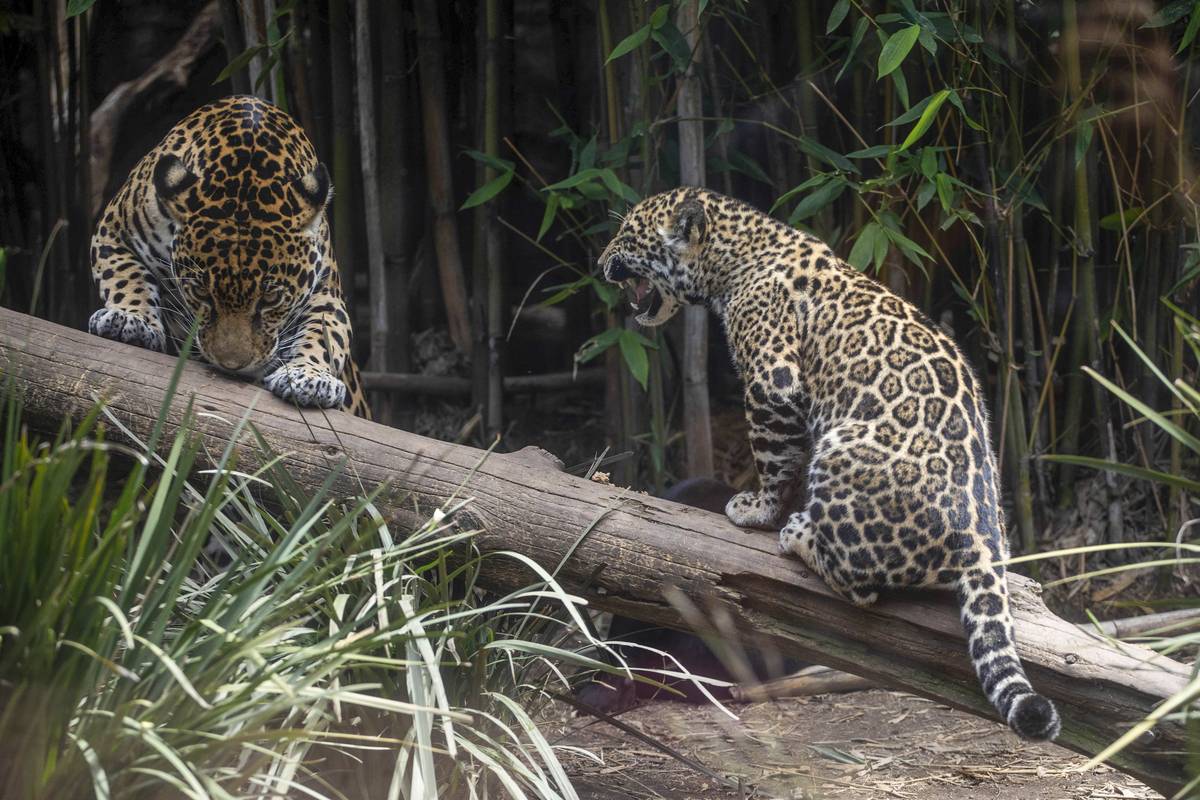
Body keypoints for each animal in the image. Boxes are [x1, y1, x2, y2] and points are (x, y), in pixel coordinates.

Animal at [87, 94, 369, 418]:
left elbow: (325, 333)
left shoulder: (326, 290)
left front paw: (309, 377)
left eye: (271, 298)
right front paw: (130, 319)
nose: (233, 366)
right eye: (200, 292)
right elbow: (127, 277)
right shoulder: (112, 229)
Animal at [598, 187, 1060, 741]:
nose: (600, 264)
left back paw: (799, 532)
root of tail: (979, 539)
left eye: (627, 237)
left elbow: (774, 459)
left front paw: (759, 510)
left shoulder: (773, 382)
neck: (736, 257)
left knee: (860, 586)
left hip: (841, 448)